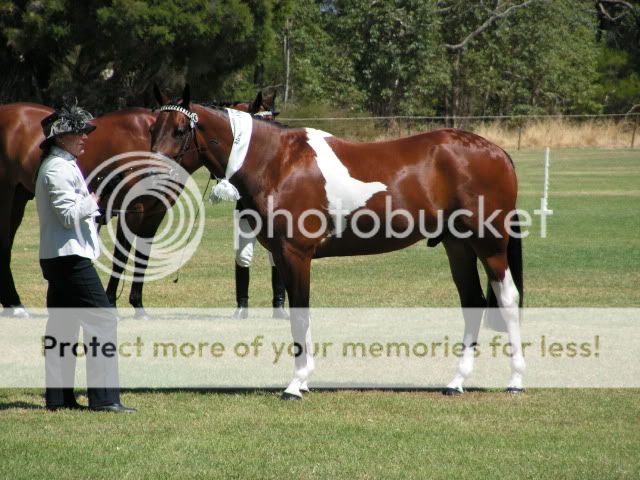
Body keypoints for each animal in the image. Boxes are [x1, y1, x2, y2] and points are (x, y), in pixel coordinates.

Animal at [0, 91, 277, 319]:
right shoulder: (131, 211)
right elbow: (121, 256)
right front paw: (111, 302)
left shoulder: (154, 213)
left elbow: (142, 256)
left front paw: (138, 305)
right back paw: (15, 304)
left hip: (18, 200)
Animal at [149, 85, 525, 399]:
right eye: (152, 129)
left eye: (180, 131)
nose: (152, 172)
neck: (277, 162)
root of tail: (497, 151)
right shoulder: (283, 256)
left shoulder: (296, 254)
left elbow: (300, 314)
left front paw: (297, 384)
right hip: (458, 246)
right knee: (472, 302)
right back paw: (456, 382)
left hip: (489, 246)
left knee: (508, 299)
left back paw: (515, 381)